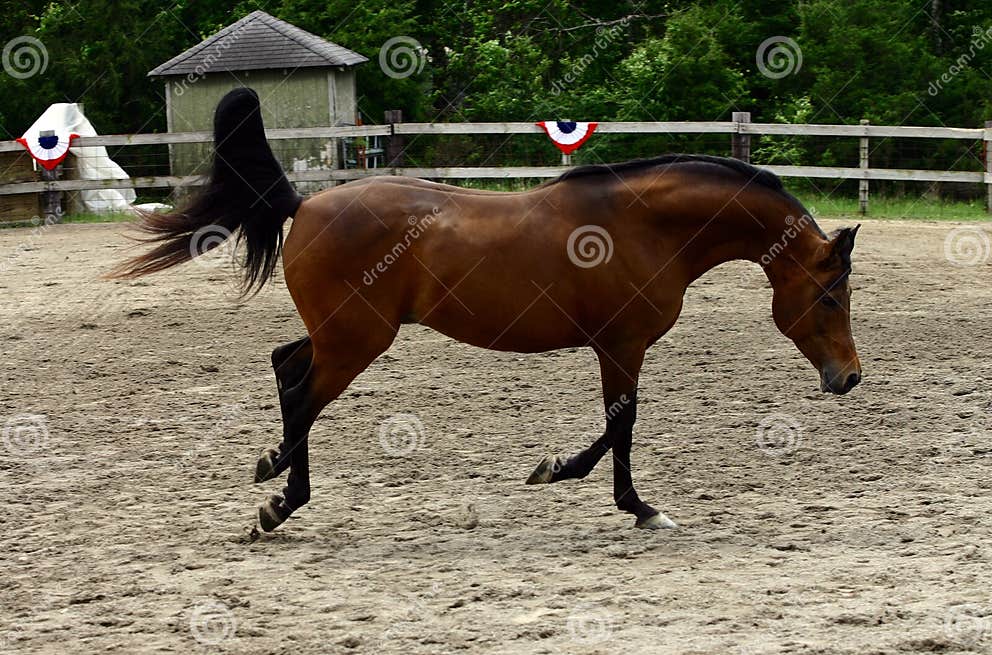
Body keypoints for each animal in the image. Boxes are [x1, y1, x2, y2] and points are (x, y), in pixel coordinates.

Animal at [111, 88, 862, 533]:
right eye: (830, 294)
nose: (849, 377)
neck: (646, 224)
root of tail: (306, 204)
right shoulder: (622, 345)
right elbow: (621, 425)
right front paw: (635, 504)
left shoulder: (613, 347)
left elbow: (612, 427)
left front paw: (558, 470)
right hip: (355, 341)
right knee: (301, 395)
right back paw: (279, 504)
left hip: (337, 333)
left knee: (284, 365)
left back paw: (271, 468)